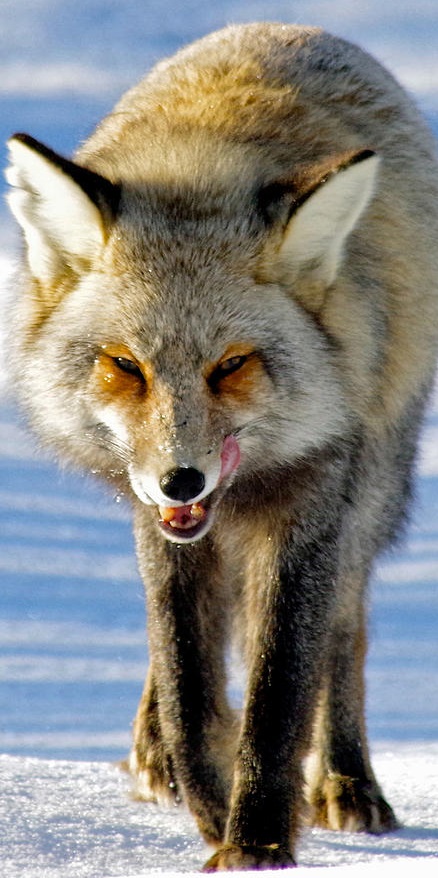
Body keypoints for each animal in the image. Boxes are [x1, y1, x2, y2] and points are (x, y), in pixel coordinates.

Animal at [5, 21, 438, 871]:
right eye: (125, 366)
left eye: (232, 365)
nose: (182, 480)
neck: (200, 171)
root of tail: (286, 28)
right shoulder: (163, 530)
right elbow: (186, 679)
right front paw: (207, 800)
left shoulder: (311, 504)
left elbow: (278, 691)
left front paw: (258, 839)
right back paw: (154, 756)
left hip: (371, 494)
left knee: (346, 633)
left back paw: (346, 780)